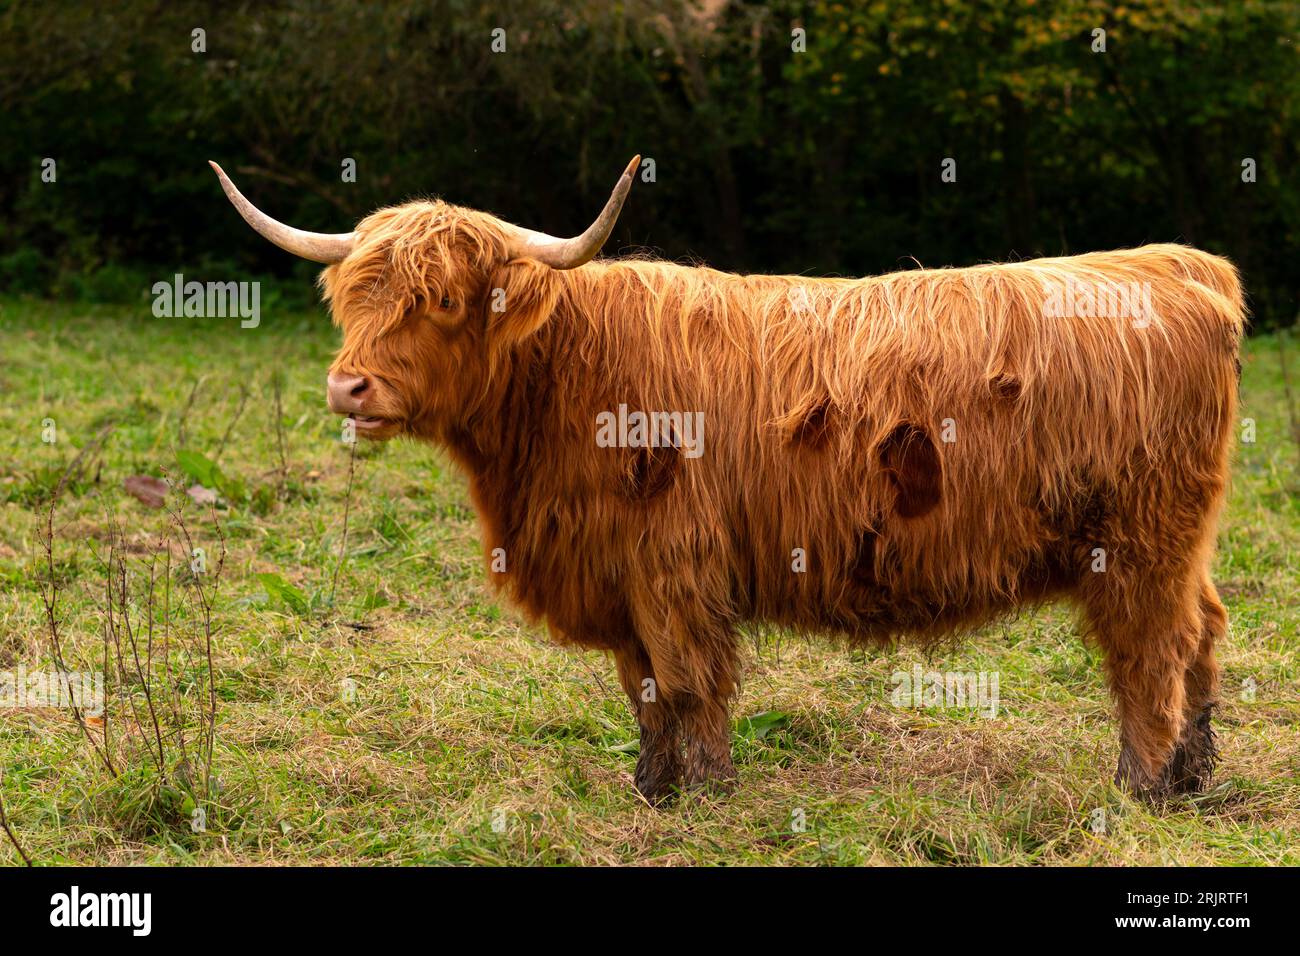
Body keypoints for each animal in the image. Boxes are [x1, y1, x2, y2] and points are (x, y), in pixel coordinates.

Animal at [211, 158, 1244, 804]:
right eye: (354, 296)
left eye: (445, 301)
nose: (350, 386)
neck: (565, 381)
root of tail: (1177, 267)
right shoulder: (619, 570)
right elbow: (642, 687)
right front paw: (650, 787)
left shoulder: (673, 564)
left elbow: (686, 680)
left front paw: (705, 793)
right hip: (1177, 542)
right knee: (1203, 635)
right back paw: (1195, 779)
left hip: (1137, 546)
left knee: (1152, 652)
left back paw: (1141, 786)